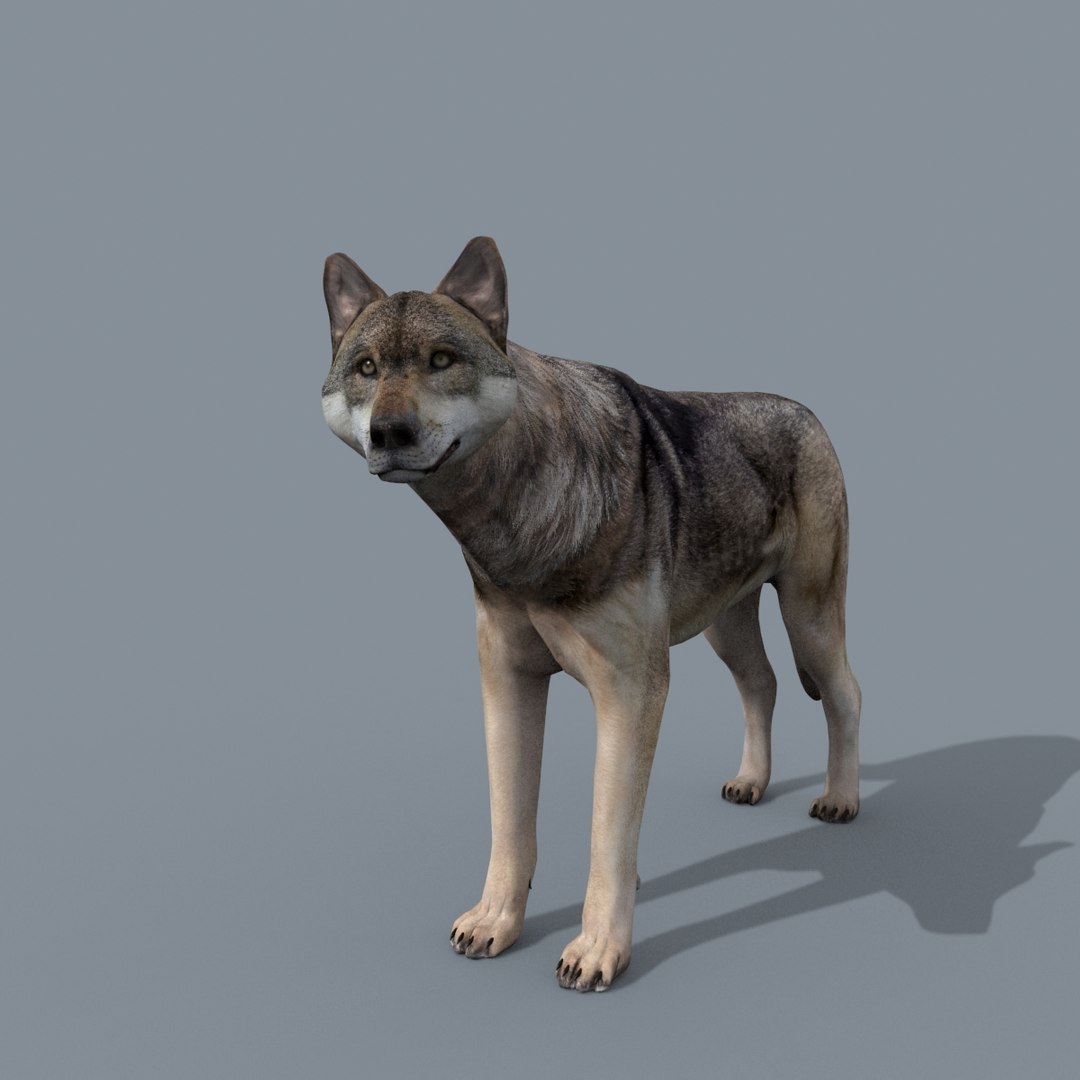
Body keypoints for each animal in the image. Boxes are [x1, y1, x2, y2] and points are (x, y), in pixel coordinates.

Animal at [320, 237, 861, 991]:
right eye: (367, 369)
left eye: (441, 361)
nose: (389, 432)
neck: (518, 514)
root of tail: (806, 410)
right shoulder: (507, 682)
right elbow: (510, 820)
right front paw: (496, 922)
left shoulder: (632, 692)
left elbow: (608, 835)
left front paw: (598, 950)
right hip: (726, 626)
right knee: (763, 683)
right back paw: (752, 782)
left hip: (808, 618)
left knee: (844, 694)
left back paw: (841, 799)